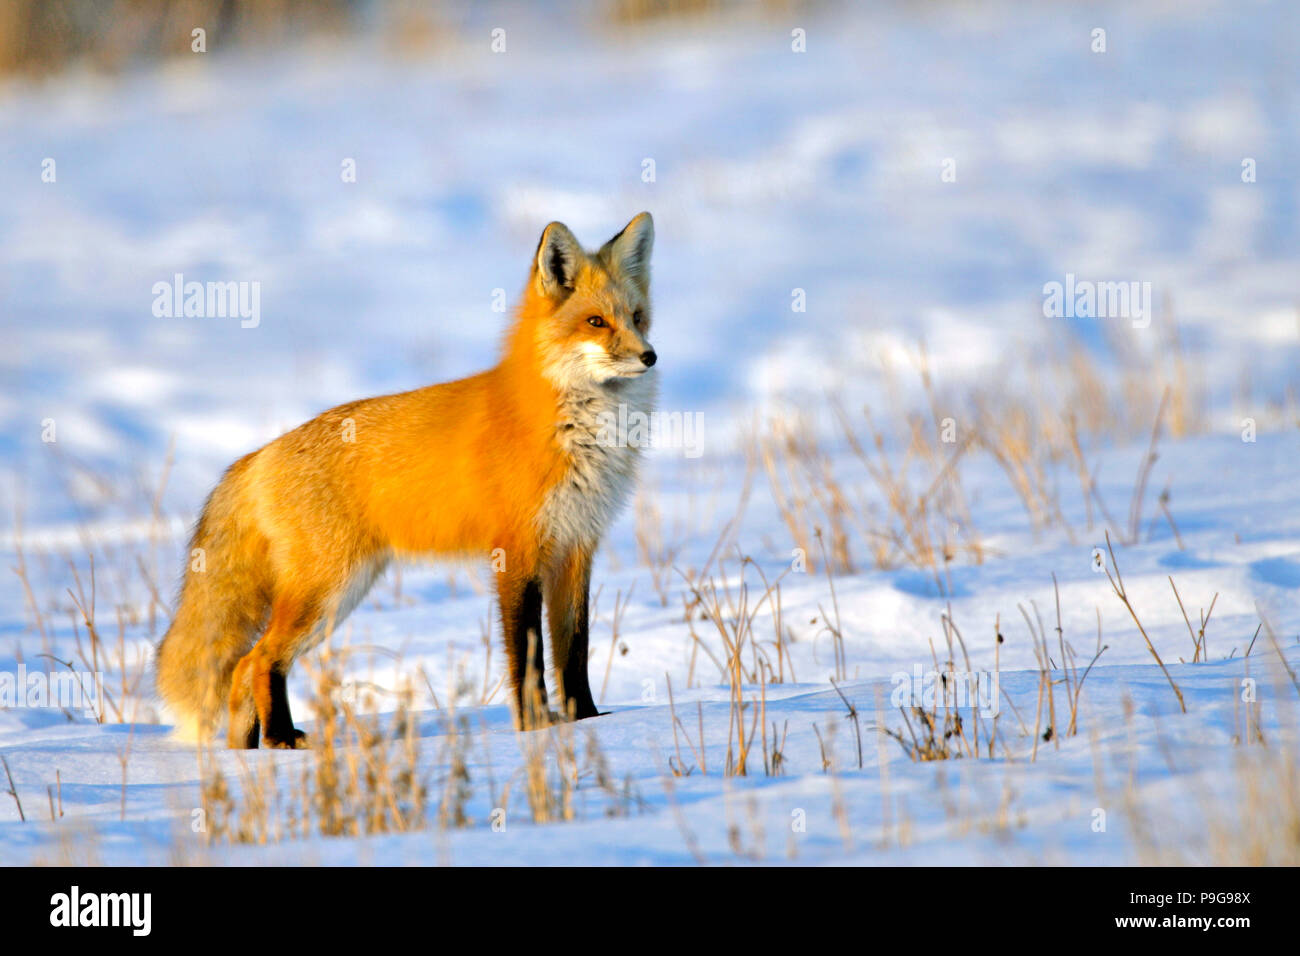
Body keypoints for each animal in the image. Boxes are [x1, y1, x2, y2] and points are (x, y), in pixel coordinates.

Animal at [155, 213, 658, 748]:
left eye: (638, 317)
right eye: (596, 322)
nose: (649, 356)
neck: (576, 430)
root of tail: (257, 456)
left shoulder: (576, 547)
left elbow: (573, 651)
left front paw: (589, 722)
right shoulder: (517, 554)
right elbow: (528, 655)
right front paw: (534, 729)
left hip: (339, 594)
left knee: (242, 667)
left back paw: (249, 751)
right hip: (328, 592)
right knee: (261, 657)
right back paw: (281, 739)